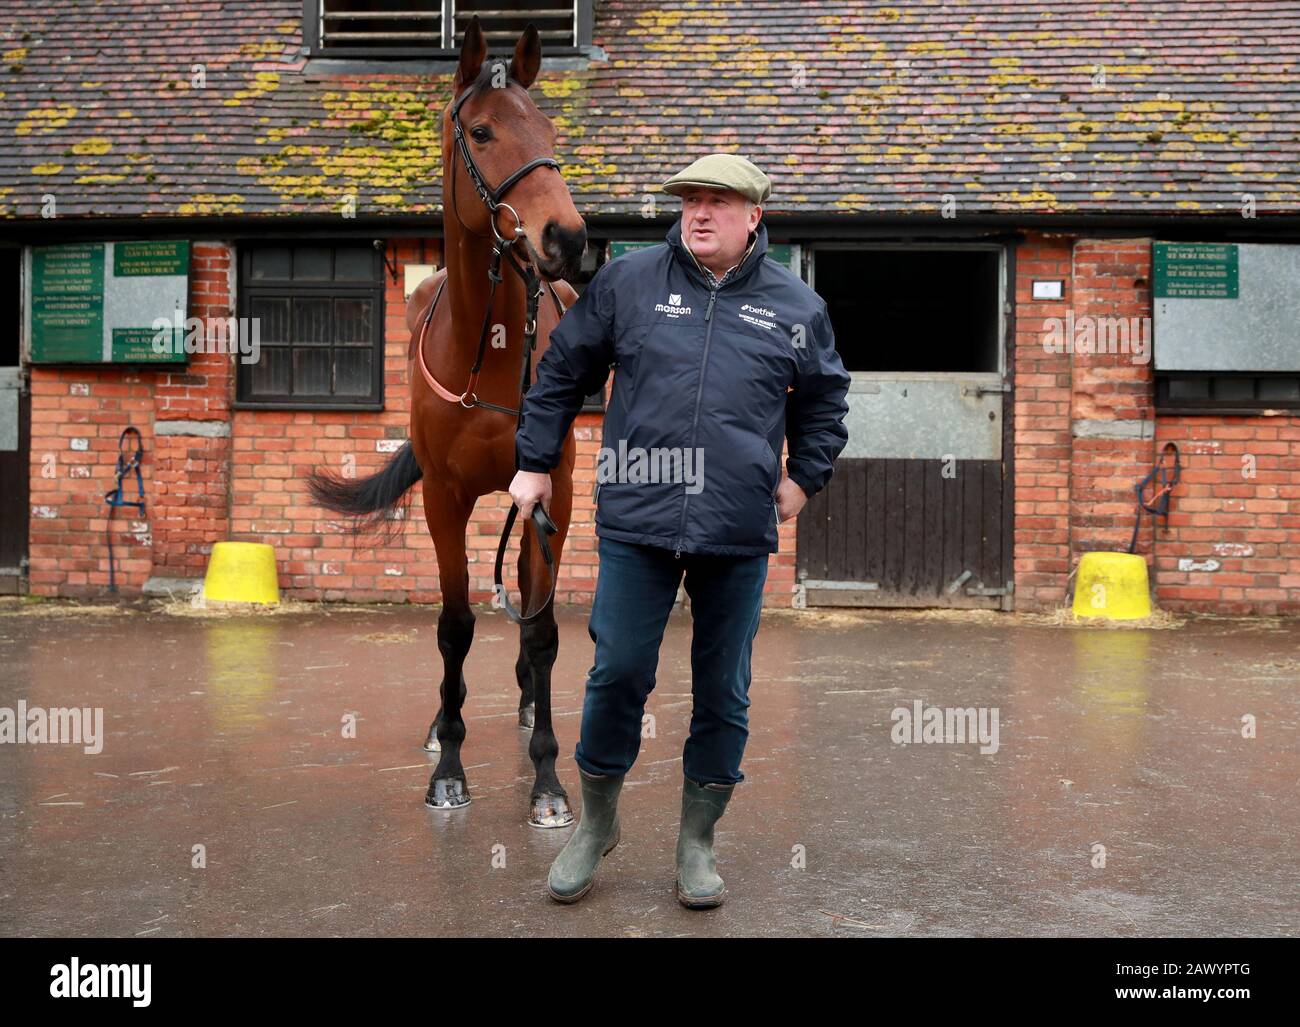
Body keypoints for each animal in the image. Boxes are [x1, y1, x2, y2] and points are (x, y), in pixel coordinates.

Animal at [307, 18, 587, 829]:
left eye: (549, 129)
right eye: (484, 131)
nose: (567, 239)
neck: (484, 354)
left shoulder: (553, 491)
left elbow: (542, 626)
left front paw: (548, 780)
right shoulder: (443, 500)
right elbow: (454, 626)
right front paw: (450, 769)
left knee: (525, 595)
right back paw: (443, 721)